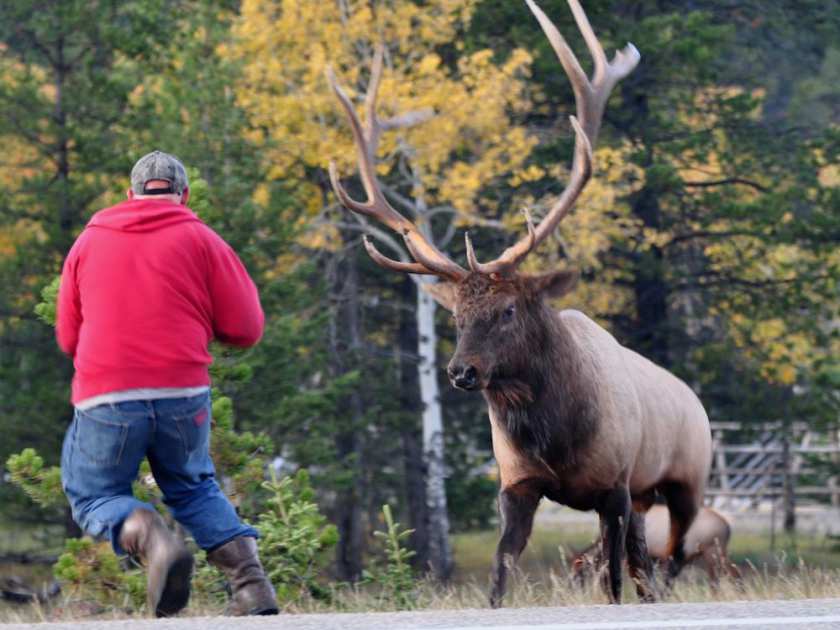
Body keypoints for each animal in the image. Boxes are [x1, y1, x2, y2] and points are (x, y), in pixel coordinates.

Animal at [327, 0, 712, 606]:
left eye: (508, 310)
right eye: (456, 315)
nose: (461, 370)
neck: (556, 436)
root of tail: (696, 401)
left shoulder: (616, 485)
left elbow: (613, 580)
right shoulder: (517, 483)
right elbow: (503, 567)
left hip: (686, 481)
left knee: (668, 559)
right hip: (650, 496)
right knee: (648, 563)